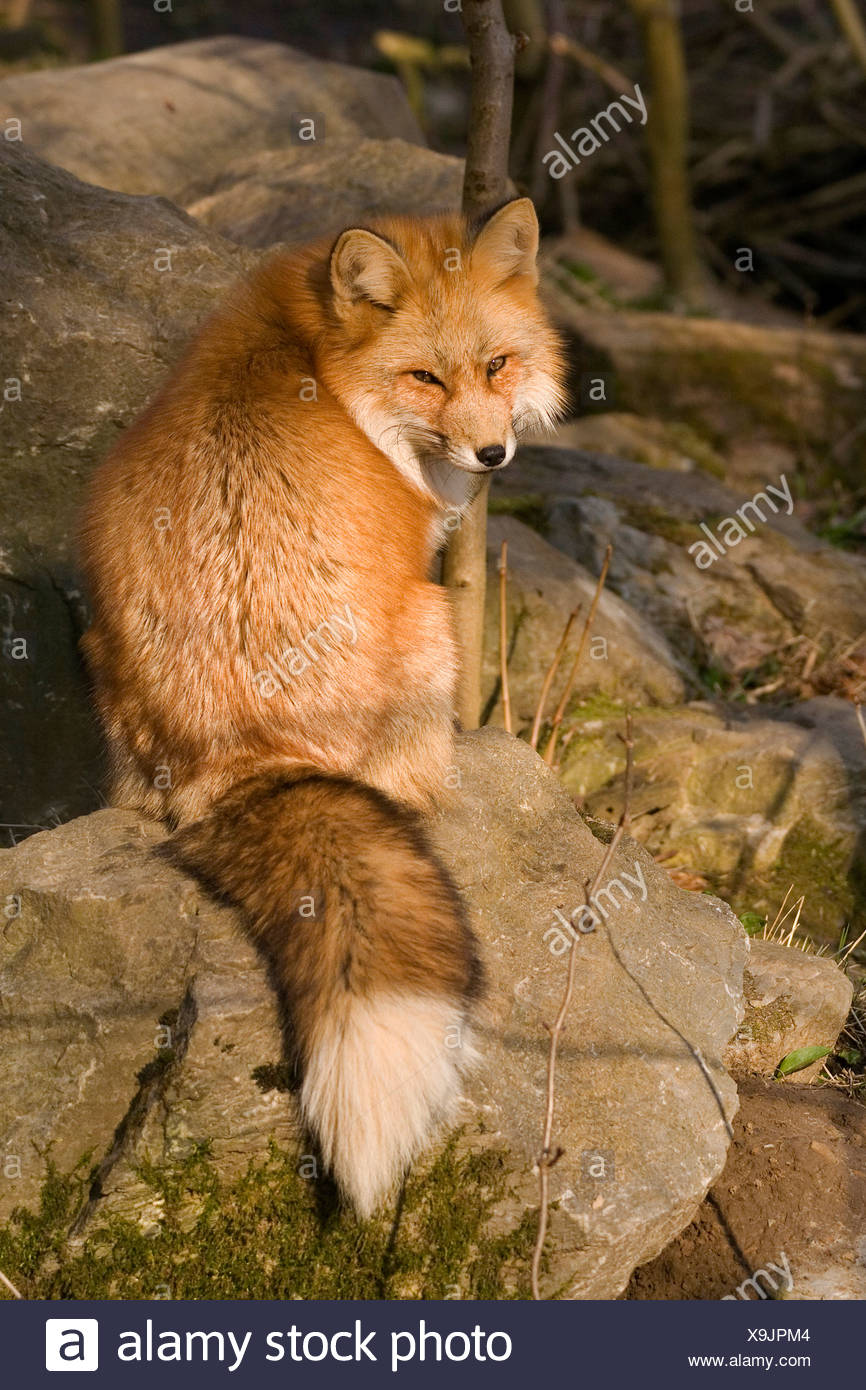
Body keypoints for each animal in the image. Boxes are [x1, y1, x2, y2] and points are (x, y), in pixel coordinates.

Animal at [80, 196, 566, 1217]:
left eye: (496, 365)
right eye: (425, 376)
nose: (492, 452)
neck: (317, 357)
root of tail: (249, 760)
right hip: (434, 620)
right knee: (415, 792)